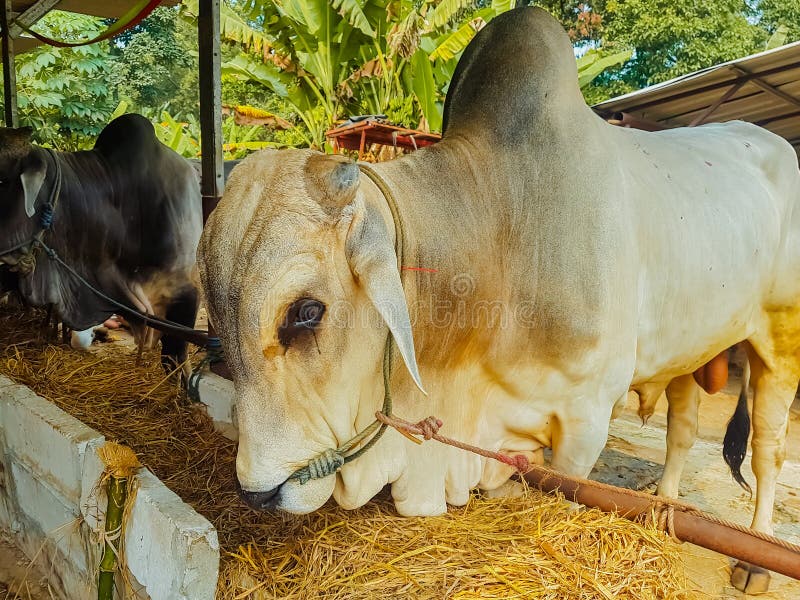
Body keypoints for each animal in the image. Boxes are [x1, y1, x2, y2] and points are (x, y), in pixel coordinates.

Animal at [197, 8, 800, 593]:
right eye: (217, 314)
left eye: (307, 311)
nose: (257, 493)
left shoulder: (586, 418)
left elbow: (569, 490)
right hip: (690, 347)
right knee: (683, 427)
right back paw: (667, 503)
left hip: (780, 342)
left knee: (768, 451)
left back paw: (757, 558)